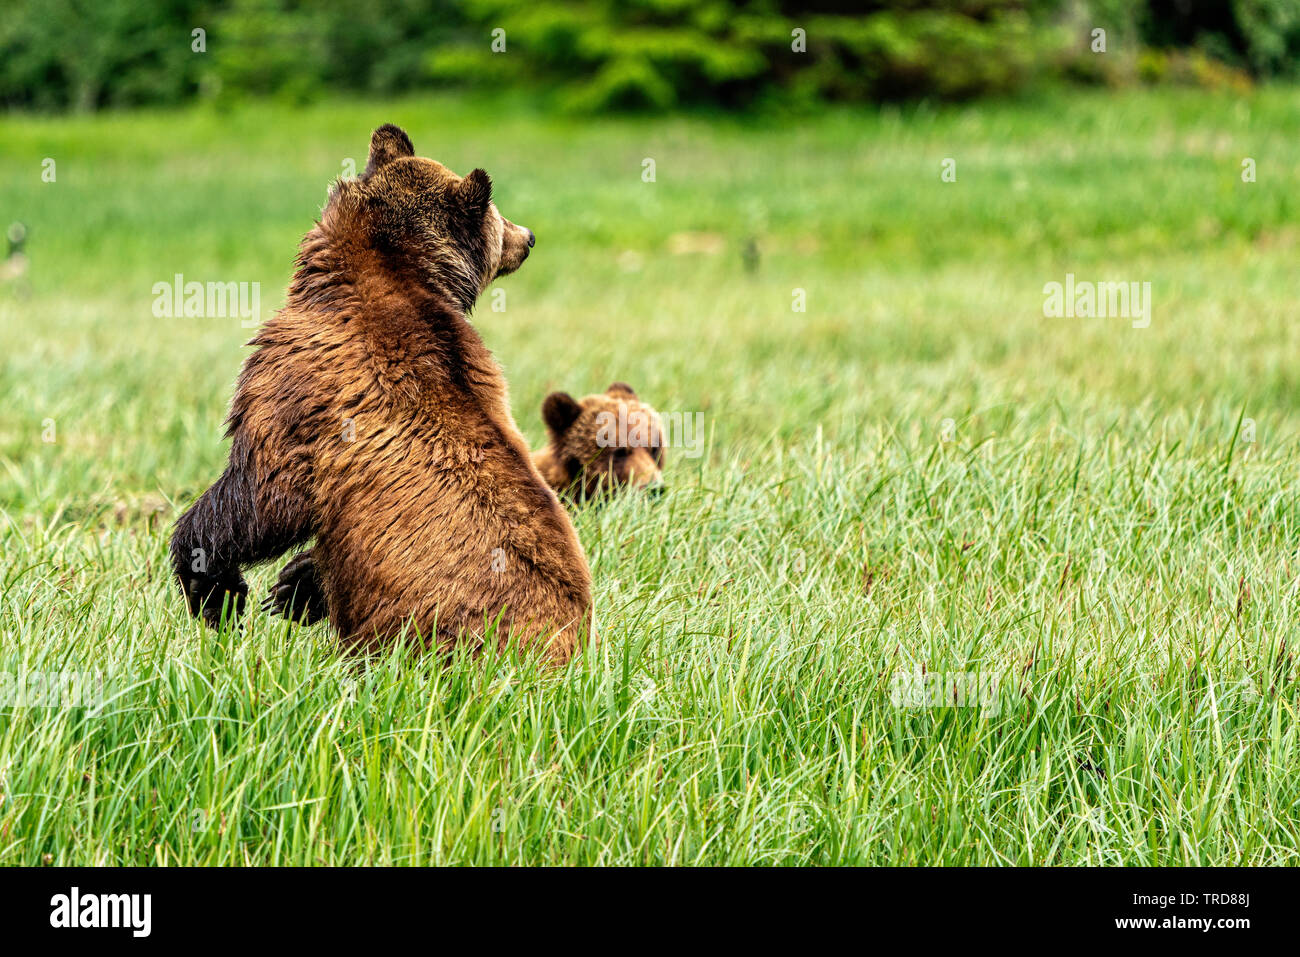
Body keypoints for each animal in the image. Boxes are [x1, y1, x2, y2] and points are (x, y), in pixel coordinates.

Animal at [170, 123, 594, 662]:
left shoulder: (298, 393)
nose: (530, 236)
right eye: (502, 216)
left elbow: (263, 492)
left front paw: (218, 591)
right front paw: (293, 585)